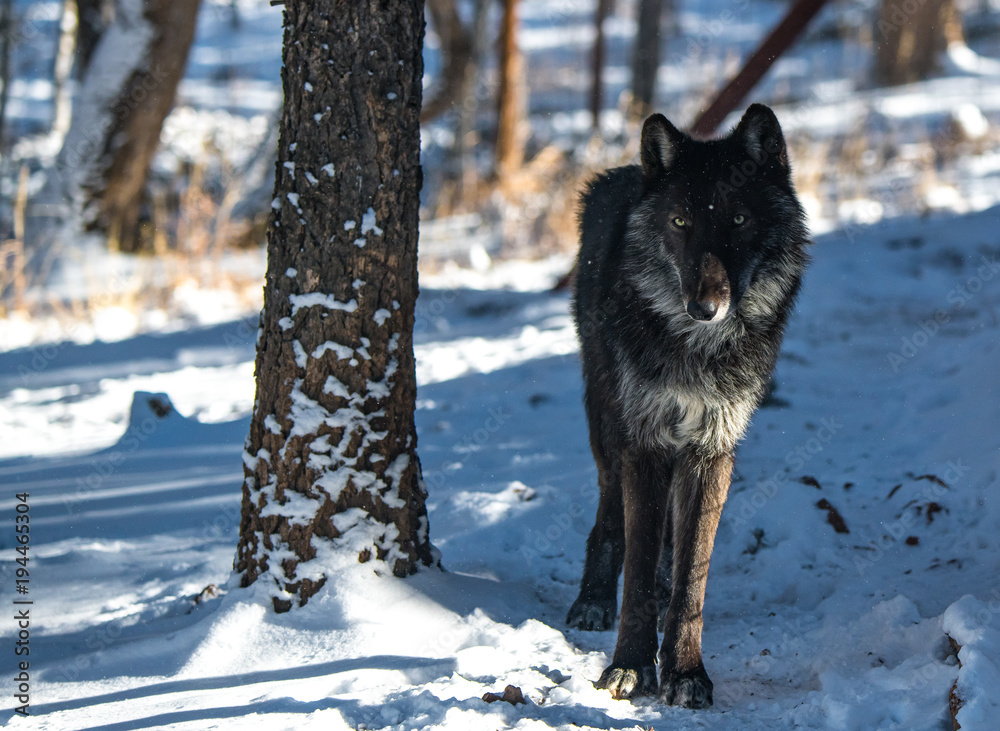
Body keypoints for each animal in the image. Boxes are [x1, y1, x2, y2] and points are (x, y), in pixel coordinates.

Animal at [566, 104, 809, 708]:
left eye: (739, 220)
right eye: (679, 223)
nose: (704, 307)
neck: (695, 348)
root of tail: (627, 170)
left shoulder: (711, 448)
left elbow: (691, 574)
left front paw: (684, 671)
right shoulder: (645, 442)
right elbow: (638, 562)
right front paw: (629, 665)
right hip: (607, 422)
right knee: (611, 513)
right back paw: (594, 597)